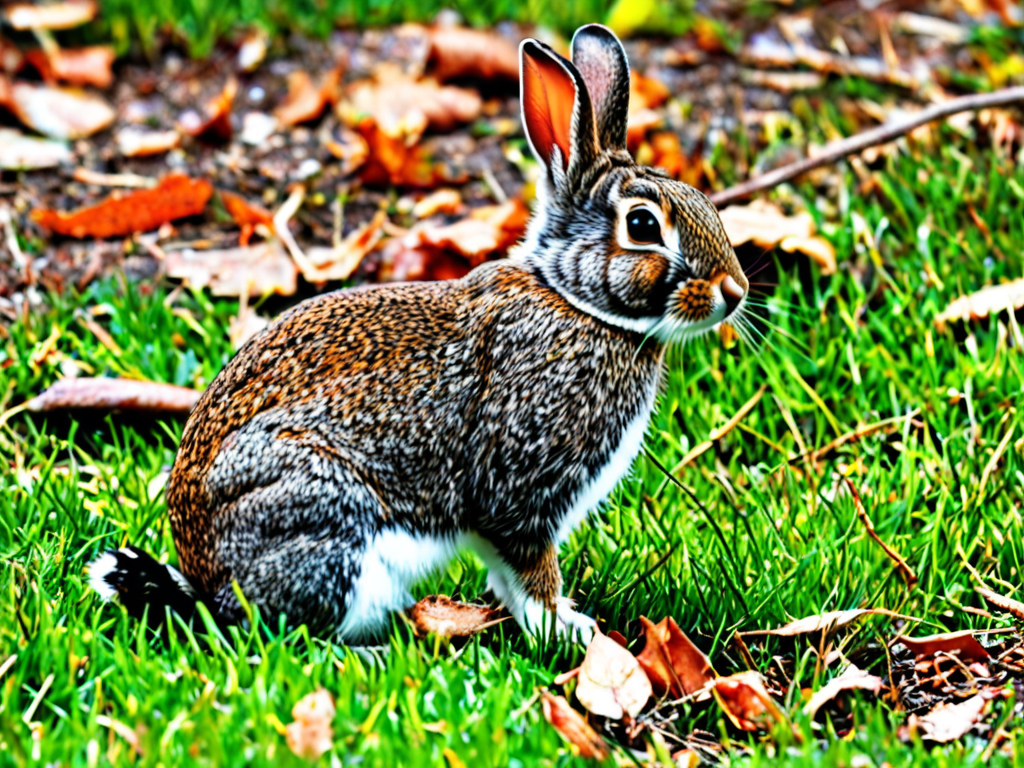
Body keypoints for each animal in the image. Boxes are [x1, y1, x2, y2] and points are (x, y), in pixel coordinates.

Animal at [88, 24, 748, 642]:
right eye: (643, 225)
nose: (735, 291)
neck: (575, 301)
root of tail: (204, 582)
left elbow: (504, 577)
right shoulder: (520, 488)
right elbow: (530, 570)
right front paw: (565, 629)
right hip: (333, 523)